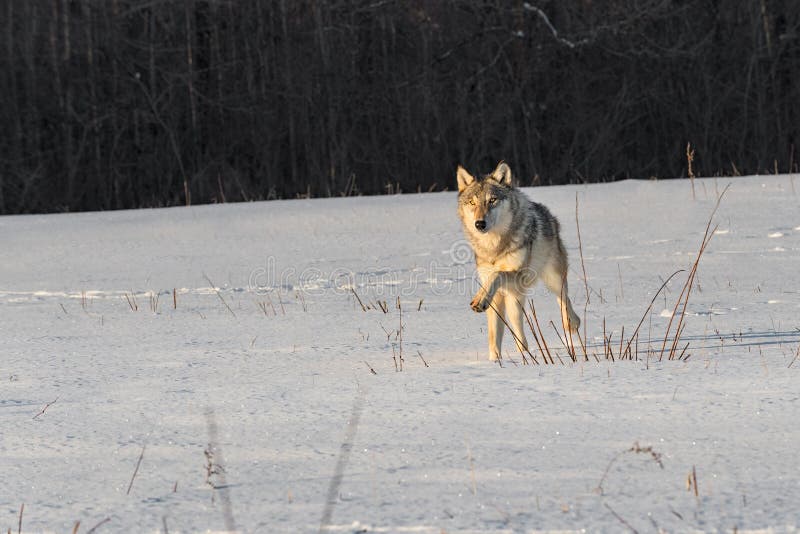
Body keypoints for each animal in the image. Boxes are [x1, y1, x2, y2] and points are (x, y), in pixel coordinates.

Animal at [456, 161, 580, 361]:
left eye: (492, 200)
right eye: (472, 203)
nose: (479, 224)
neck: (494, 247)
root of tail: (548, 213)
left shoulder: (520, 277)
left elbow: (497, 274)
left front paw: (479, 299)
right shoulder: (497, 293)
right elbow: (494, 335)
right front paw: (495, 361)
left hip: (551, 280)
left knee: (564, 300)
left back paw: (571, 325)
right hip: (514, 299)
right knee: (519, 330)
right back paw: (524, 353)